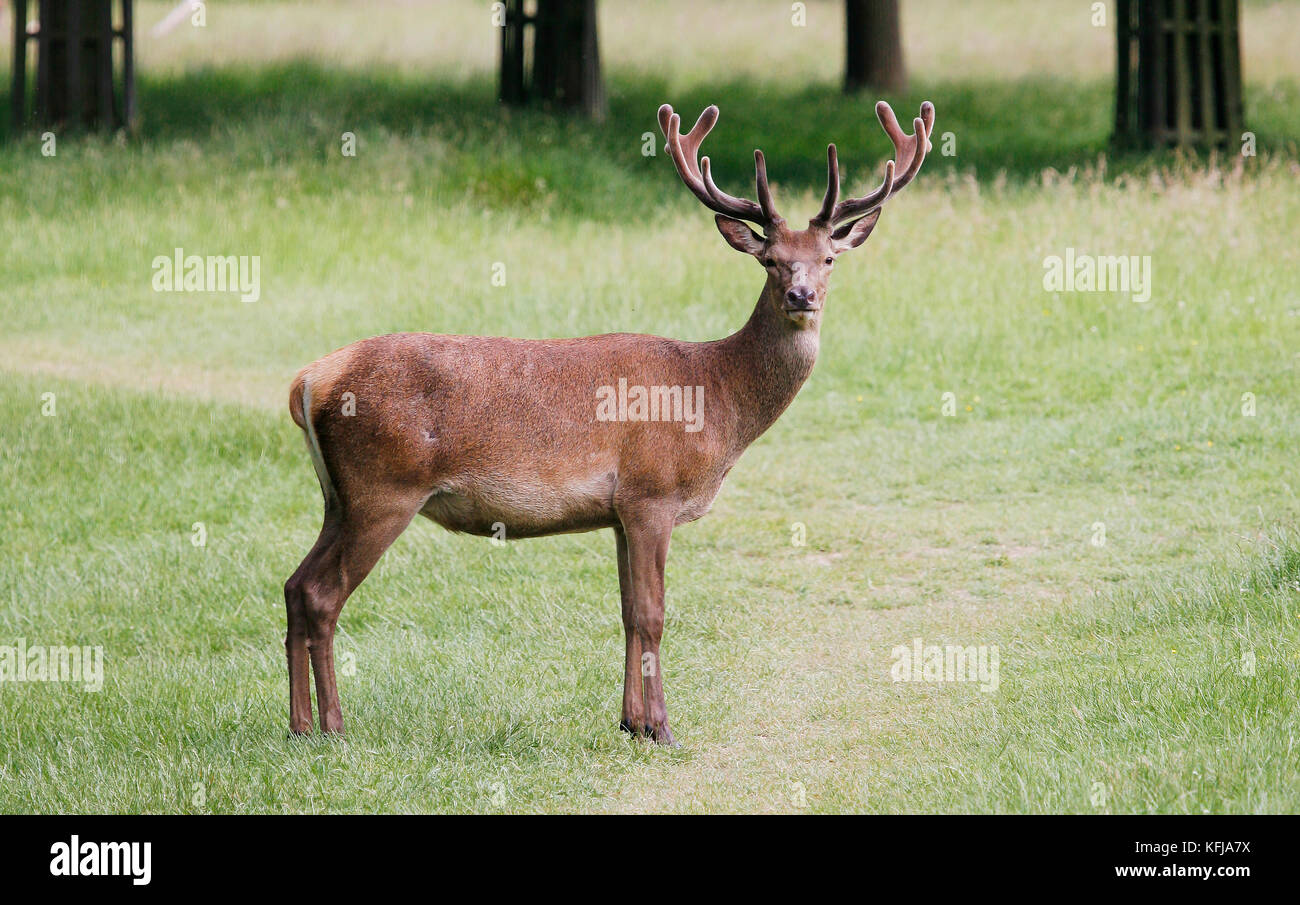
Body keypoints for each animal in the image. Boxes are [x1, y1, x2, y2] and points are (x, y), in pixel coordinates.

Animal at [283, 99, 934, 745]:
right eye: (772, 260)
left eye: (828, 259)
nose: (802, 296)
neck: (716, 402)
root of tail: (310, 380)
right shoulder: (652, 493)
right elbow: (653, 613)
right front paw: (664, 728)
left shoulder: (619, 510)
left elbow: (625, 612)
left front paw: (630, 723)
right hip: (384, 488)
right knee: (321, 594)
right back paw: (333, 728)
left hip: (339, 497)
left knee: (294, 586)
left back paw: (300, 727)